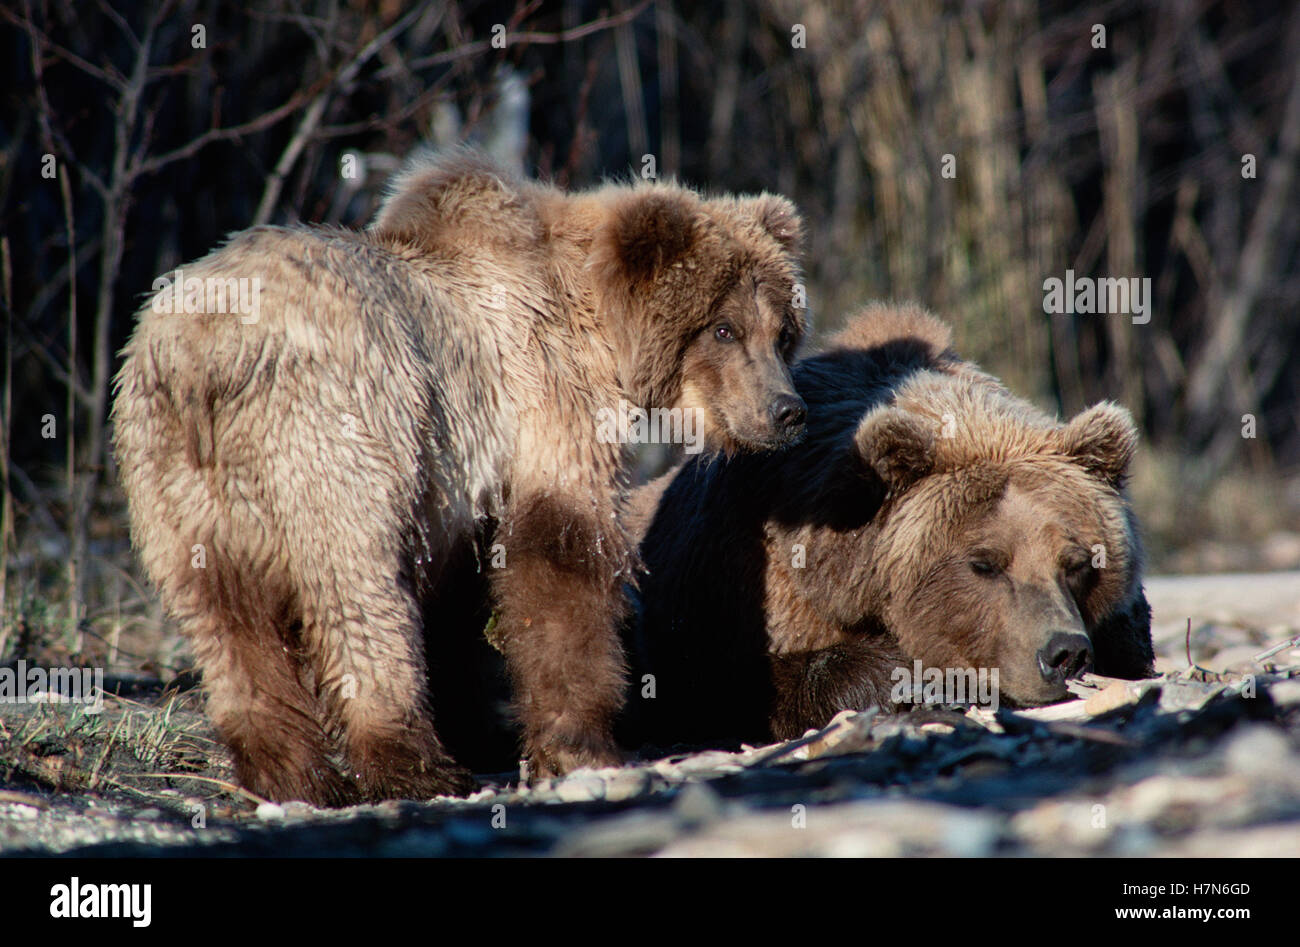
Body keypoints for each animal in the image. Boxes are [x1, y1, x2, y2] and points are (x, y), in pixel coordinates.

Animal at [112, 149, 808, 805]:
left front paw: (481, 724)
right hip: (332, 430)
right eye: (723, 328)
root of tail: (208, 350)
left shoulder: (460, 485)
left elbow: (462, 596)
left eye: (781, 332)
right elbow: (561, 553)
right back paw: (414, 765)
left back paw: (293, 773)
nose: (787, 411)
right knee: (357, 587)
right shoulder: (542, 398)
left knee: (224, 617)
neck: (598, 328)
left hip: (174, 476)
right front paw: (582, 743)